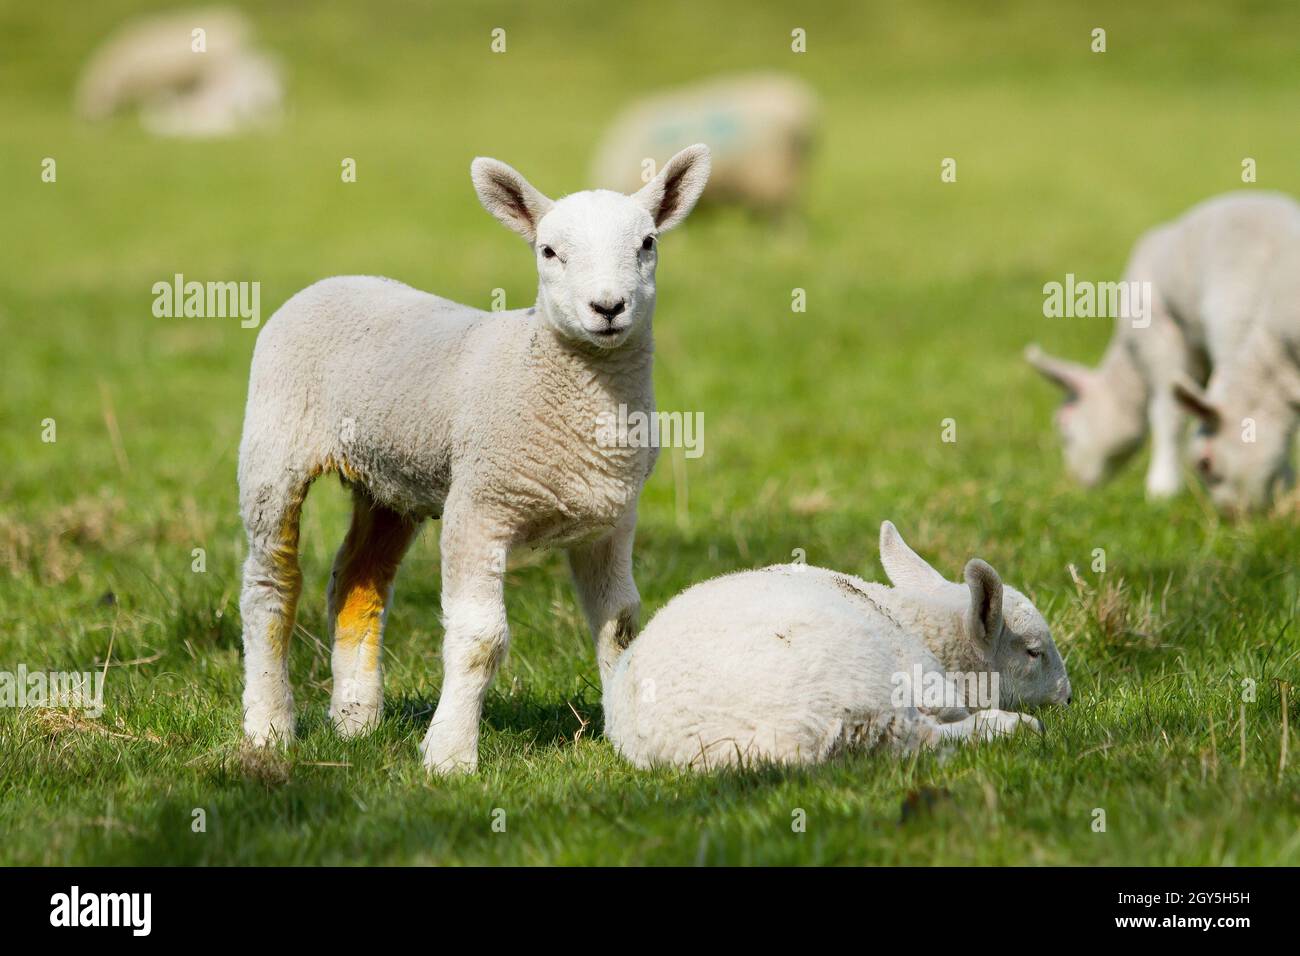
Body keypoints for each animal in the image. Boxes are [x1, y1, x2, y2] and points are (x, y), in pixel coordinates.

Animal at [237, 145, 712, 774]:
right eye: (549, 251)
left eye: (648, 242)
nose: (607, 307)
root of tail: (331, 282)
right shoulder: (479, 506)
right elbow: (480, 639)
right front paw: (450, 754)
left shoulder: (610, 523)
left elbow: (620, 626)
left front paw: (623, 735)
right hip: (274, 449)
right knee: (270, 587)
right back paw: (269, 727)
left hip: (391, 480)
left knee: (358, 580)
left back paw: (356, 721)